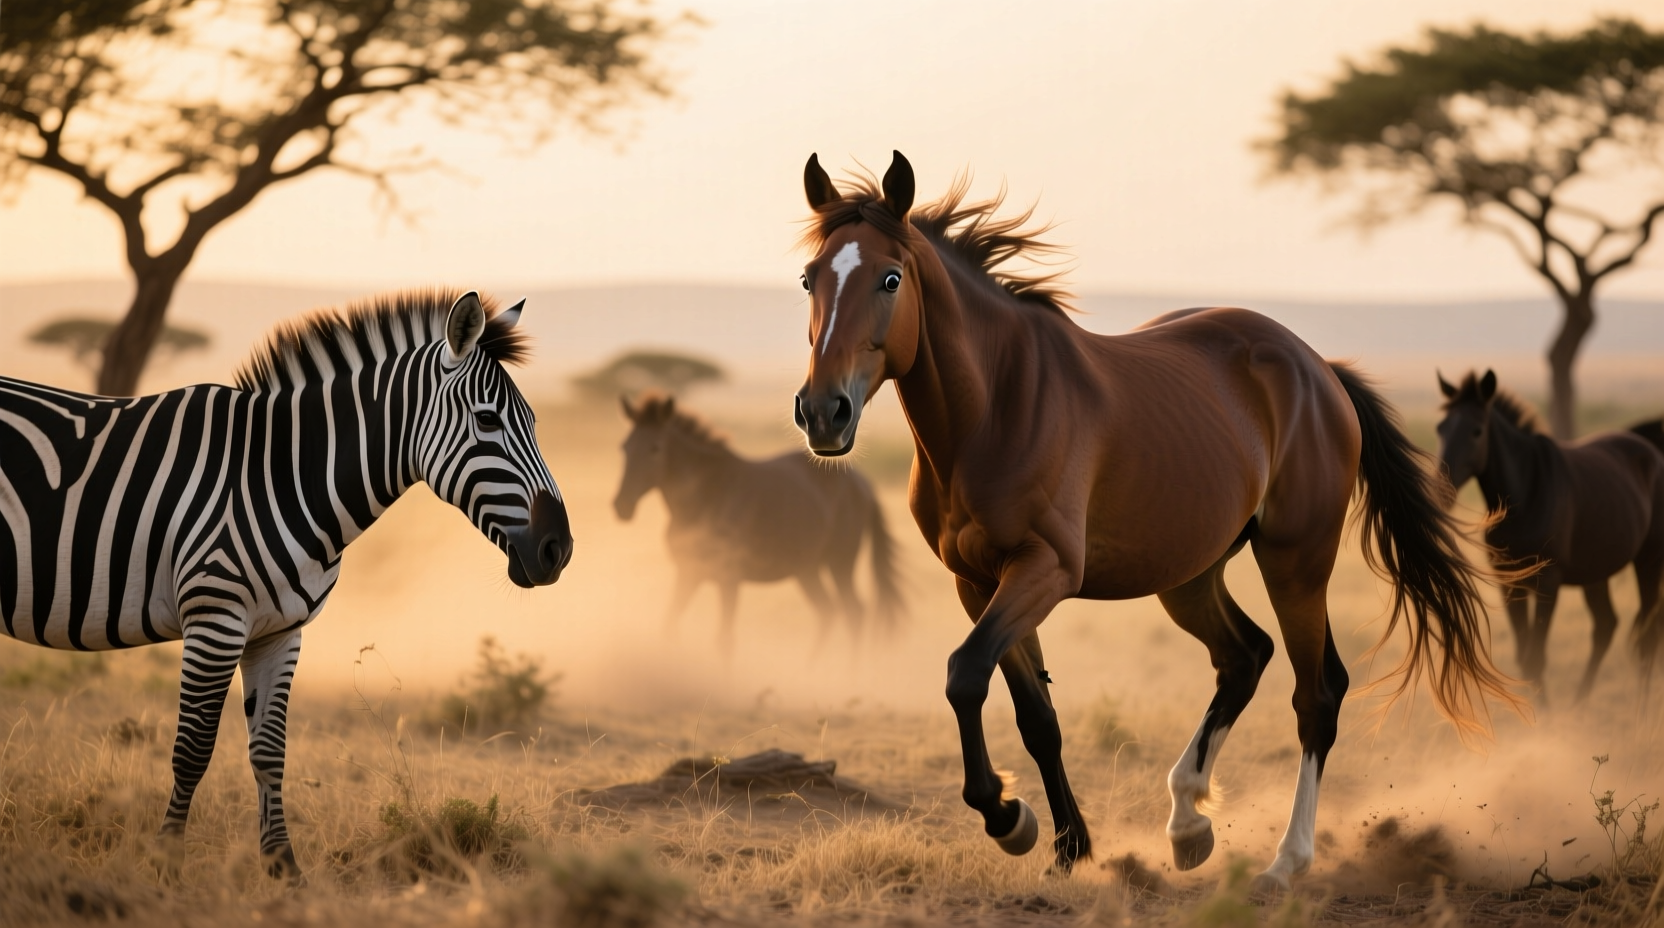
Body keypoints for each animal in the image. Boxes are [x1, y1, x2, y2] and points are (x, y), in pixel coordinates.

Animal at [0, 289, 573, 879]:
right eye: (487, 420)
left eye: (533, 420)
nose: (559, 548)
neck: (277, 476)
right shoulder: (215, 617)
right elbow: (193, 749)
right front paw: (167, 864)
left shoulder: (279, 632)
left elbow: (269, 752)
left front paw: (283, 867)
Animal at [613, 393, 902, 651]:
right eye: (624, 447)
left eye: (655, 448)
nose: (621, 506)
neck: (706, 497)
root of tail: (862, 484)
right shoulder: (688, 572)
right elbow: (669, 625)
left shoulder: (728, 578)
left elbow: (724, 641)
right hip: (808, 569)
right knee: (828, 611)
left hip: (839, 562)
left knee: (854, 612)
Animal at [789, 151, 1521, 888]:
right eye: (808, 279)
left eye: (890, 278)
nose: (823, 412)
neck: (994, 409)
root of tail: (1318, 370)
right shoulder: (978, 583)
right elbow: (1036, 715)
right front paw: (1068, 845)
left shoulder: (1044, 570)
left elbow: (965, 675)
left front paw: (1007, 818)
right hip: (1191, 575)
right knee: (1245, 656)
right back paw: (1188, 821)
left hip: (1295, 562)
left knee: (1316, 693)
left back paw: (1285, 862)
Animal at [1436, 370, 1664, 700]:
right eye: (1440, 428)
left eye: (1477, 431)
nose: (1440, 490)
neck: (1528, 492)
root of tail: (1652, 452)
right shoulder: (1508, 580)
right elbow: (1524, 654)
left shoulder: (1548, 581)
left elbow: (1536, 654)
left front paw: (1542, 713)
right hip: (1596, 572)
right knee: (1606, 625)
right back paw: (1580, 703)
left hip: (1648, 562)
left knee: (1647, 633)